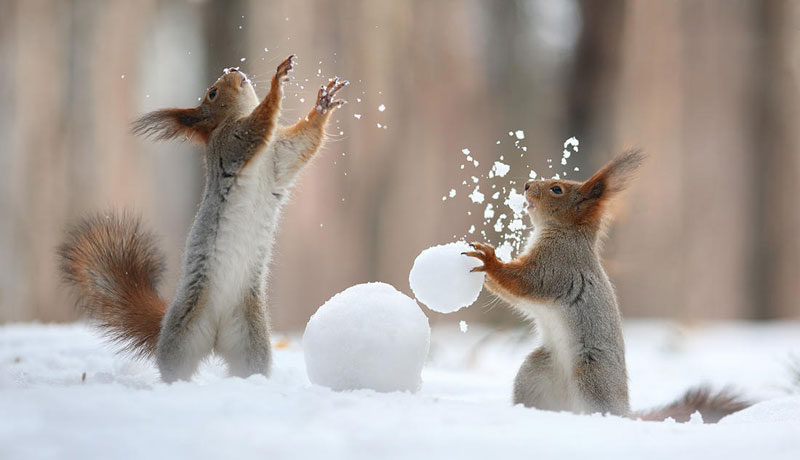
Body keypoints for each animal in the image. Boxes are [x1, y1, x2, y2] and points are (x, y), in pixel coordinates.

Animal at [58, 55, 348, 382]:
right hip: (184, 334)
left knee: (248, 364)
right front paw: (277, 82)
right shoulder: (232, 142)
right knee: (175, 365)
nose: (232, 70)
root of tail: (216, 336)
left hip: (250, 339)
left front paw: (323, 103)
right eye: (212, 93)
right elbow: (259, 124)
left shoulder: (280, 159)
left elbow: (304, 142)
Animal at [464, 150, 749, 423]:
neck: (569, 232)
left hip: (592, 375)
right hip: (535, 372)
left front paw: (489, 262)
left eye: (557, 189)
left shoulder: (556, 266)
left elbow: (524, 282)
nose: (526, 185)